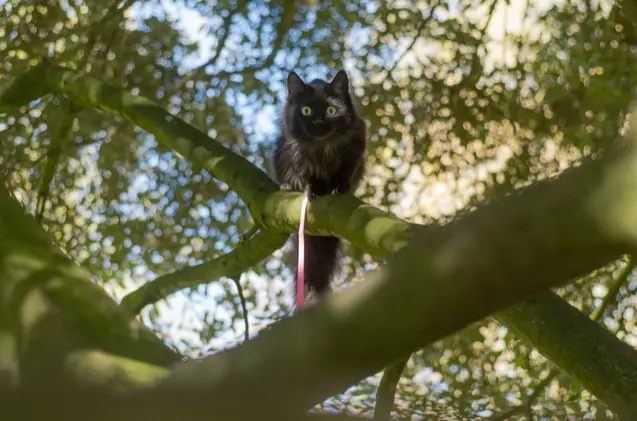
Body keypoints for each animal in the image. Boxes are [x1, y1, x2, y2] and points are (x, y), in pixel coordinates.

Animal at [270, 68, 366, 298]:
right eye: (306, 110)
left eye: (331, 110)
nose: (319, 123)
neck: (322, 148)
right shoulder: (298, 156)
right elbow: (309, 177)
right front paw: (313, 191)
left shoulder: (354, 151)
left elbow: (343, 174)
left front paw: (338, 189)